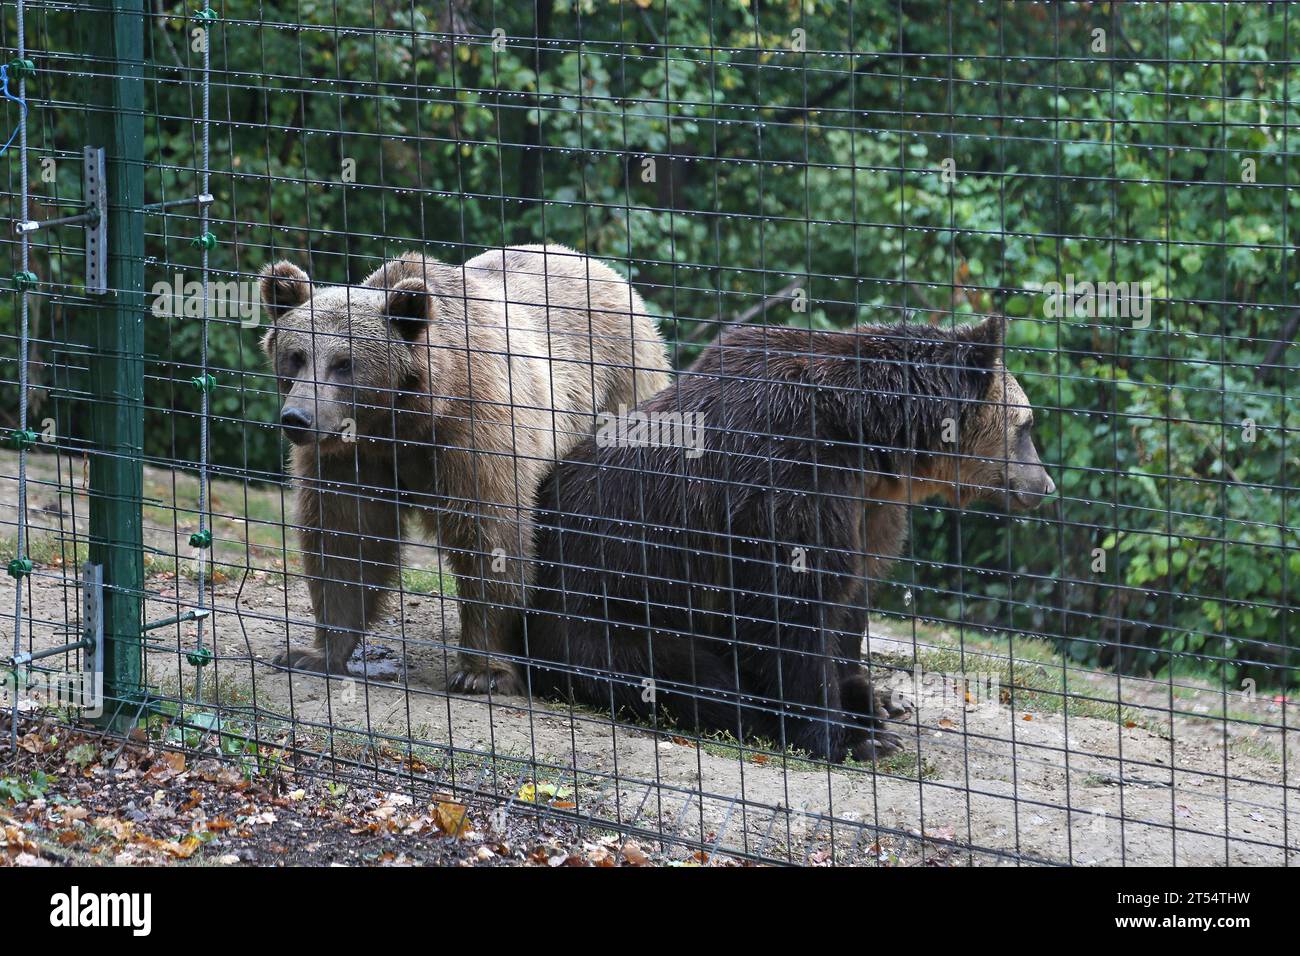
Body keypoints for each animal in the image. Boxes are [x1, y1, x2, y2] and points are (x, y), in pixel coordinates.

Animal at [259, 244, 672, 694]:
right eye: (297, 356)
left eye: (344, 363)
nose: (297, 418)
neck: (402, 419)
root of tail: (603, 270)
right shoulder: (354, 457)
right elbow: (346, 537)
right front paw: (313, 653)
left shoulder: (476, 428)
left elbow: (489, 535)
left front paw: (481, 672)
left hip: (620, 387)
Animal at [522, 315, 1055, 763]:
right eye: (1027, 426)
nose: (1045, 485)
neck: (870, 436)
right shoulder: (786, 480)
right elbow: (789, 607)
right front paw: (846, 736)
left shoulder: (870, 505)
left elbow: (851, 596)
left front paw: (865, 699)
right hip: (609, 607)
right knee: (684, 676)